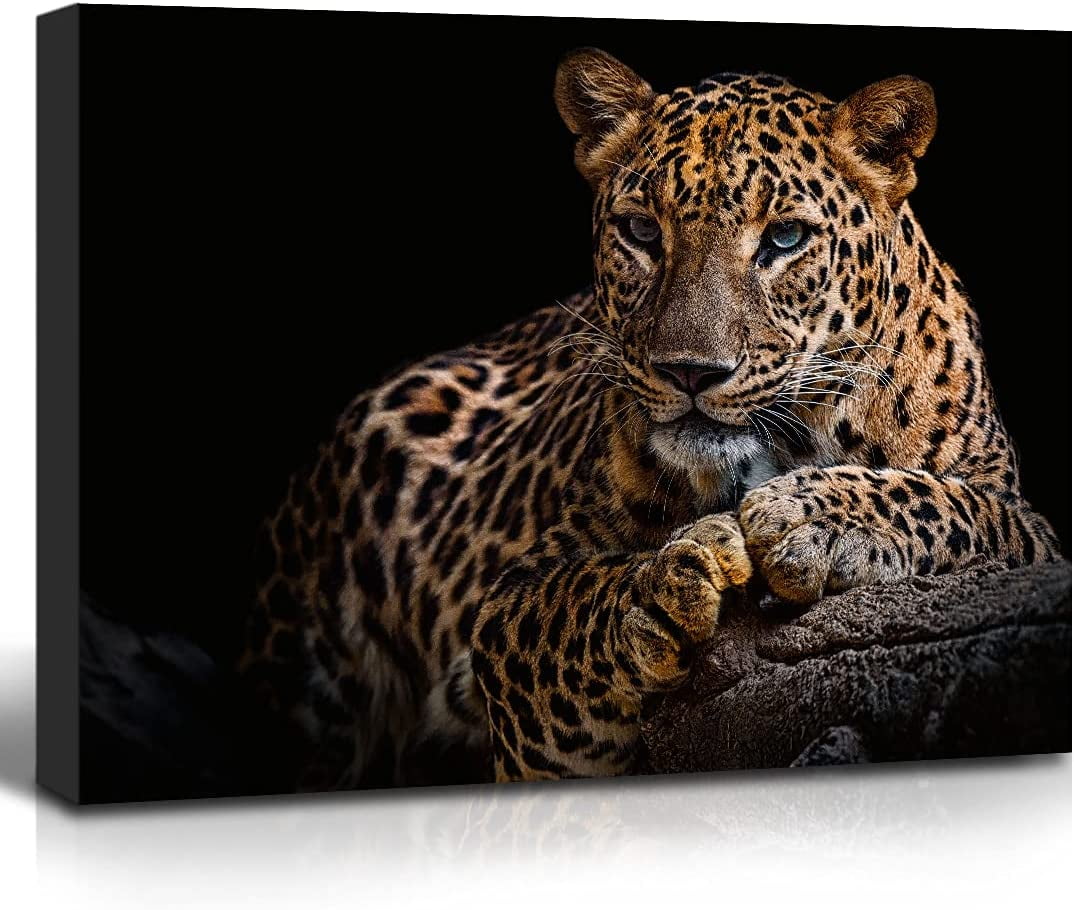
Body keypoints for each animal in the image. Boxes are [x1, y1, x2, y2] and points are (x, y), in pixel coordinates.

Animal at [239, 48, 1061, 788]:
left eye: (785, 239)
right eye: (640, 231)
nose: (690, 371)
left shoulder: (1026, 527)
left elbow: (954, 504)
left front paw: (812, 519)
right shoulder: (509, 607)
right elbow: (558, 608)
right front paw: (660, 590)